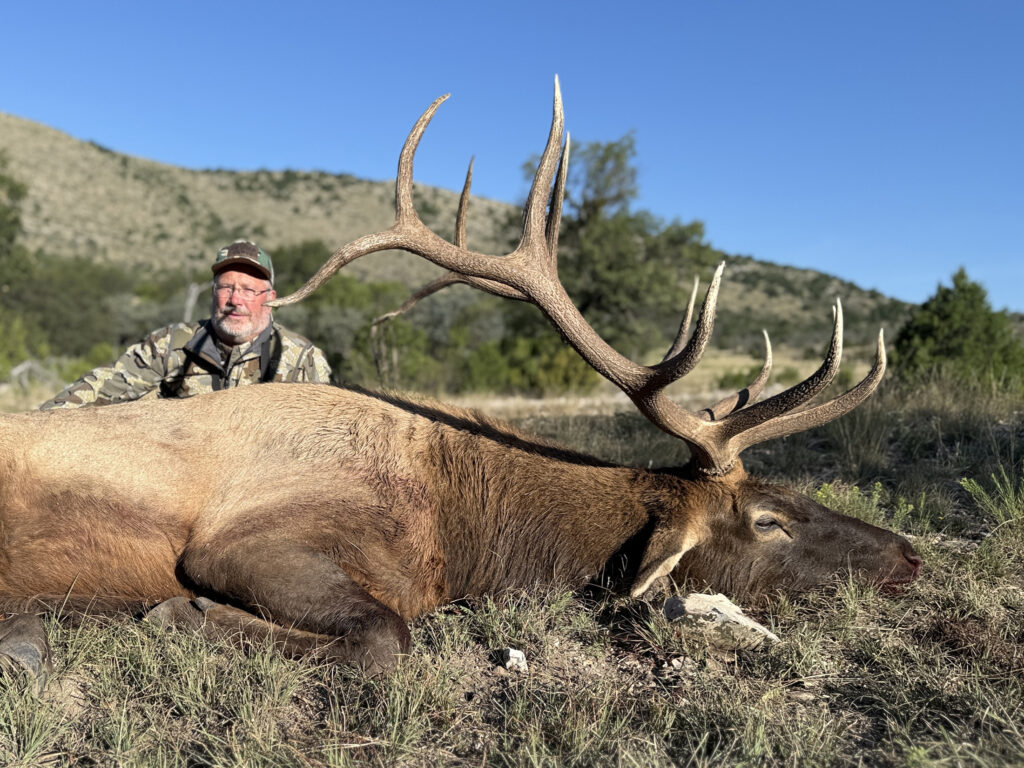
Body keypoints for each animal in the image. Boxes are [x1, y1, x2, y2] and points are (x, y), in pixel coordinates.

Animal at [0, 79, 920, 679]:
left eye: (796, 491)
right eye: (769, 520)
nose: (911, 555)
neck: (466, 530)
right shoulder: (242, 541)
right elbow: (387, 638)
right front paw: (180, 614)